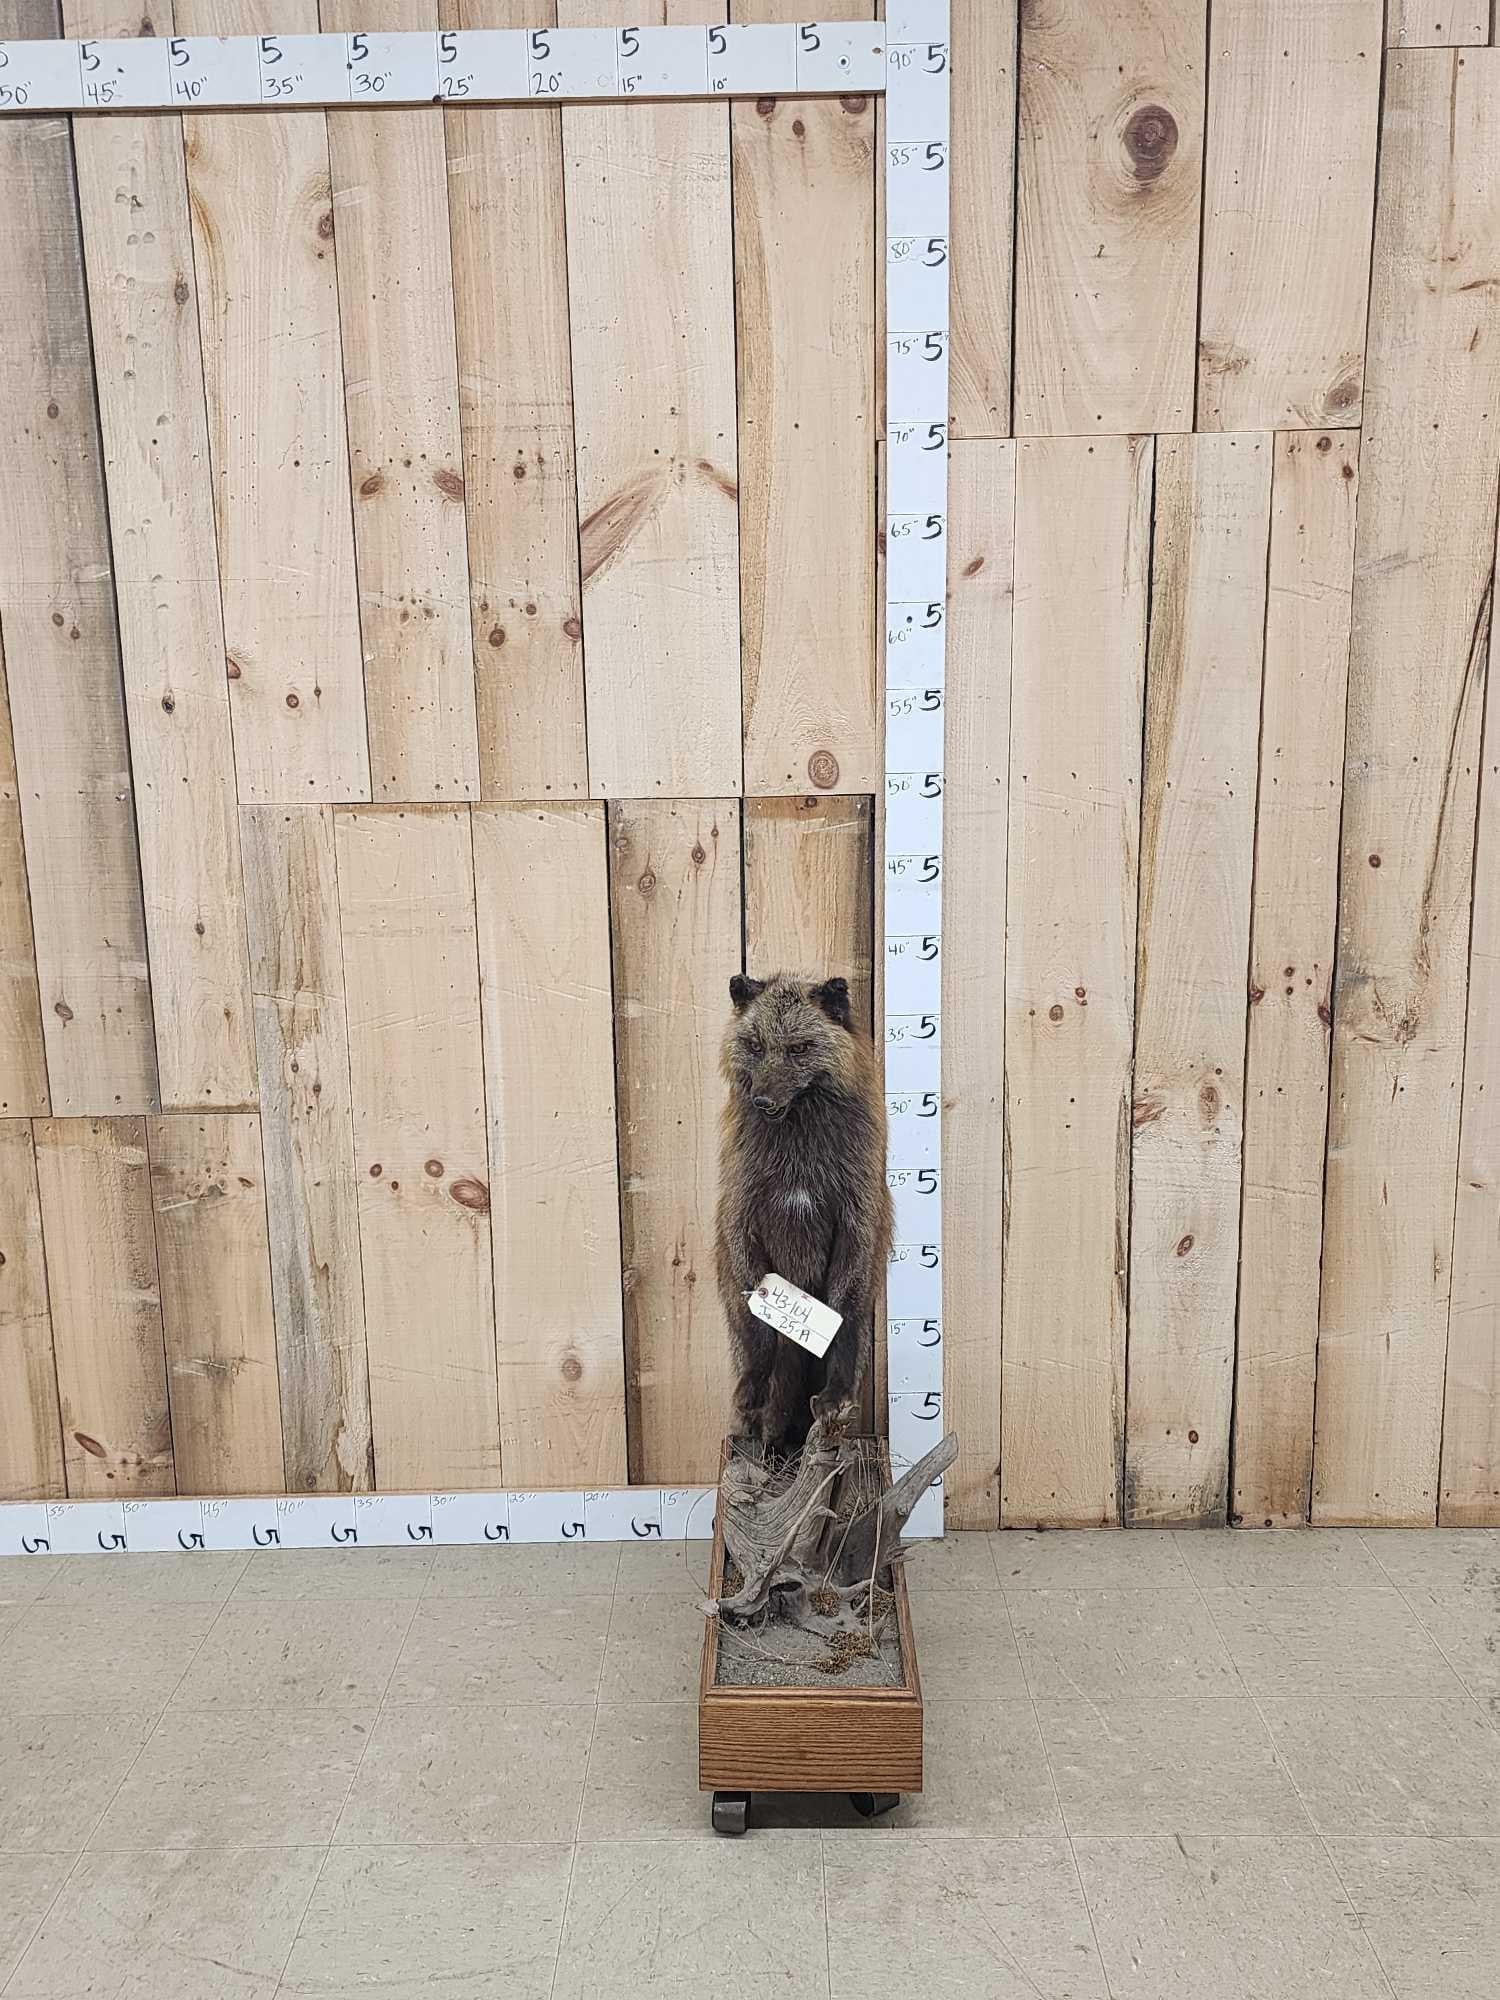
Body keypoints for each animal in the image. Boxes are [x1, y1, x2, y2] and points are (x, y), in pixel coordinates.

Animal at [715, 971, 893, 1450]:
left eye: (798, 1048)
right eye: (755, 1045)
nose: (762, 1100)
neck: (799, 1159)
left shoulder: (856, 1221)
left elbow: (842, 1317)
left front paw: (835, 1394)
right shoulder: (741, 1217)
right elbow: (760, 1327)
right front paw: (753, 1386)